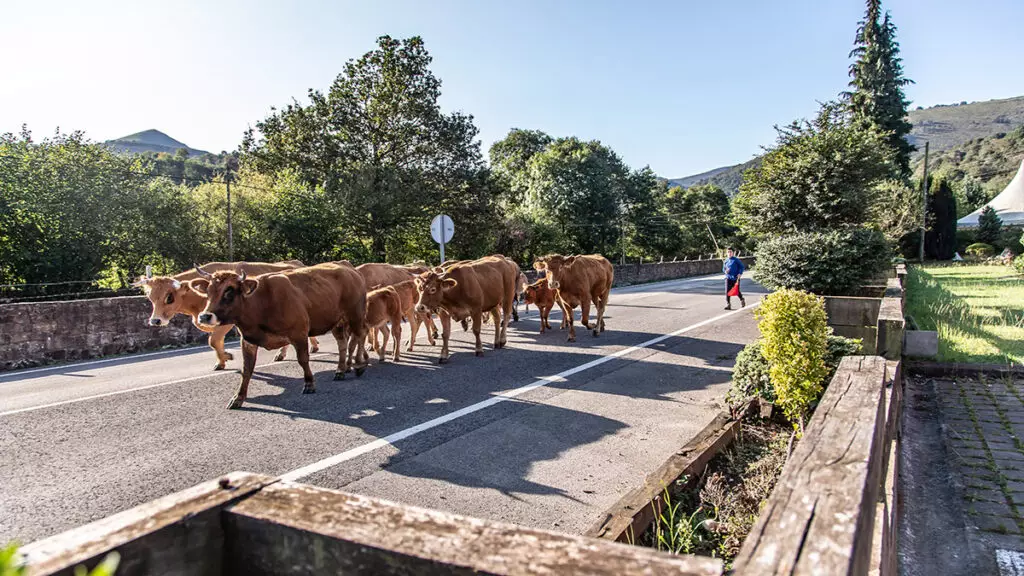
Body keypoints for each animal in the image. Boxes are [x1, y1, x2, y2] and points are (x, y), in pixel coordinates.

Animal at [132, 260, 317, 366]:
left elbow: (213, 340)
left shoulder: (227, 322)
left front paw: (225, 358)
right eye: (150, 297)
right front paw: (222, 359)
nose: (155, 321)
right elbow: (214, 341)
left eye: (169, 297)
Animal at [190, 260, 370, 407]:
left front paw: (309, 384)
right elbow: (247, 369)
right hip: (336, 321)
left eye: (229, 291)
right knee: (342, 343)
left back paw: (359, 365)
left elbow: (303, 359)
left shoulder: (299, 332)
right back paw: (340, 370)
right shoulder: (248, 340)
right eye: (208, 291)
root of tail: (348, 267)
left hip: (355, 314)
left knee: (360, 335)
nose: (205, 316)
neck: (260, 303)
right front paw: (238, 397)